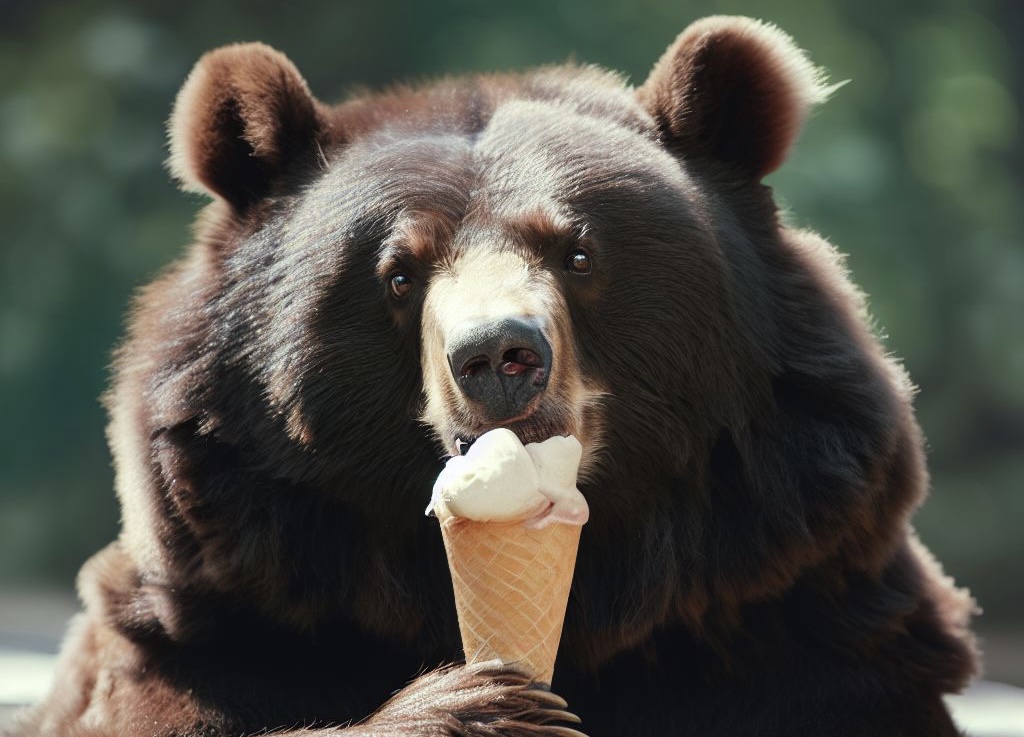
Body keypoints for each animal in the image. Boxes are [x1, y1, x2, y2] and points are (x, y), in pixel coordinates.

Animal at [5, 15, 978, 737]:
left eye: (579, 251)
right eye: (399, 273)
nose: (499, 354)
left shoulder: (790, 608)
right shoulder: (230, 615)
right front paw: (476, 703)